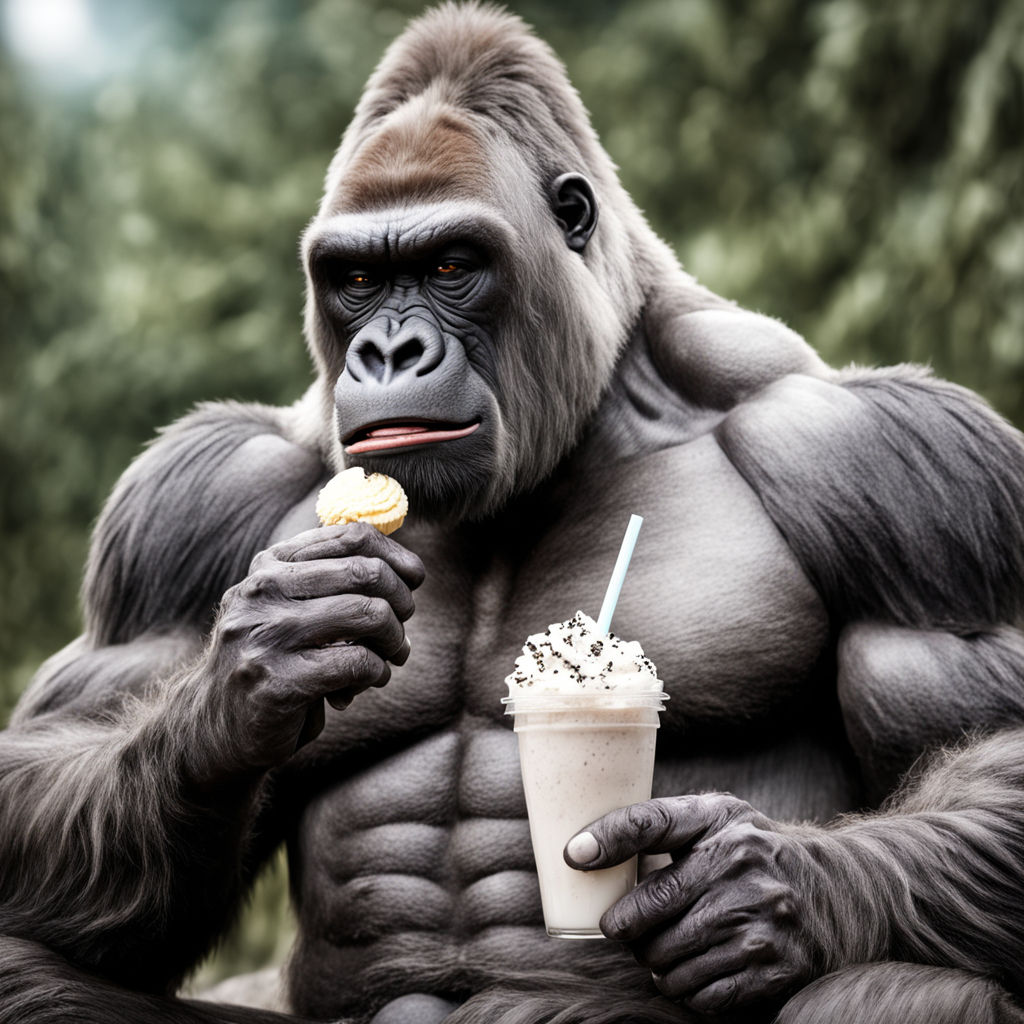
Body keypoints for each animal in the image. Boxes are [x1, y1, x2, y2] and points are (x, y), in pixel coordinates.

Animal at [4, 3, 1024, 1023]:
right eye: (357, 281)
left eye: (452, 263)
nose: (388, 353)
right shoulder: (190, 498)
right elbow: (39, 768)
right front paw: (250, 673)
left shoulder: (896, 458)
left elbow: (994, 750)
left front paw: (762, 891)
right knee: (24, 968)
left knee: (906, 984)